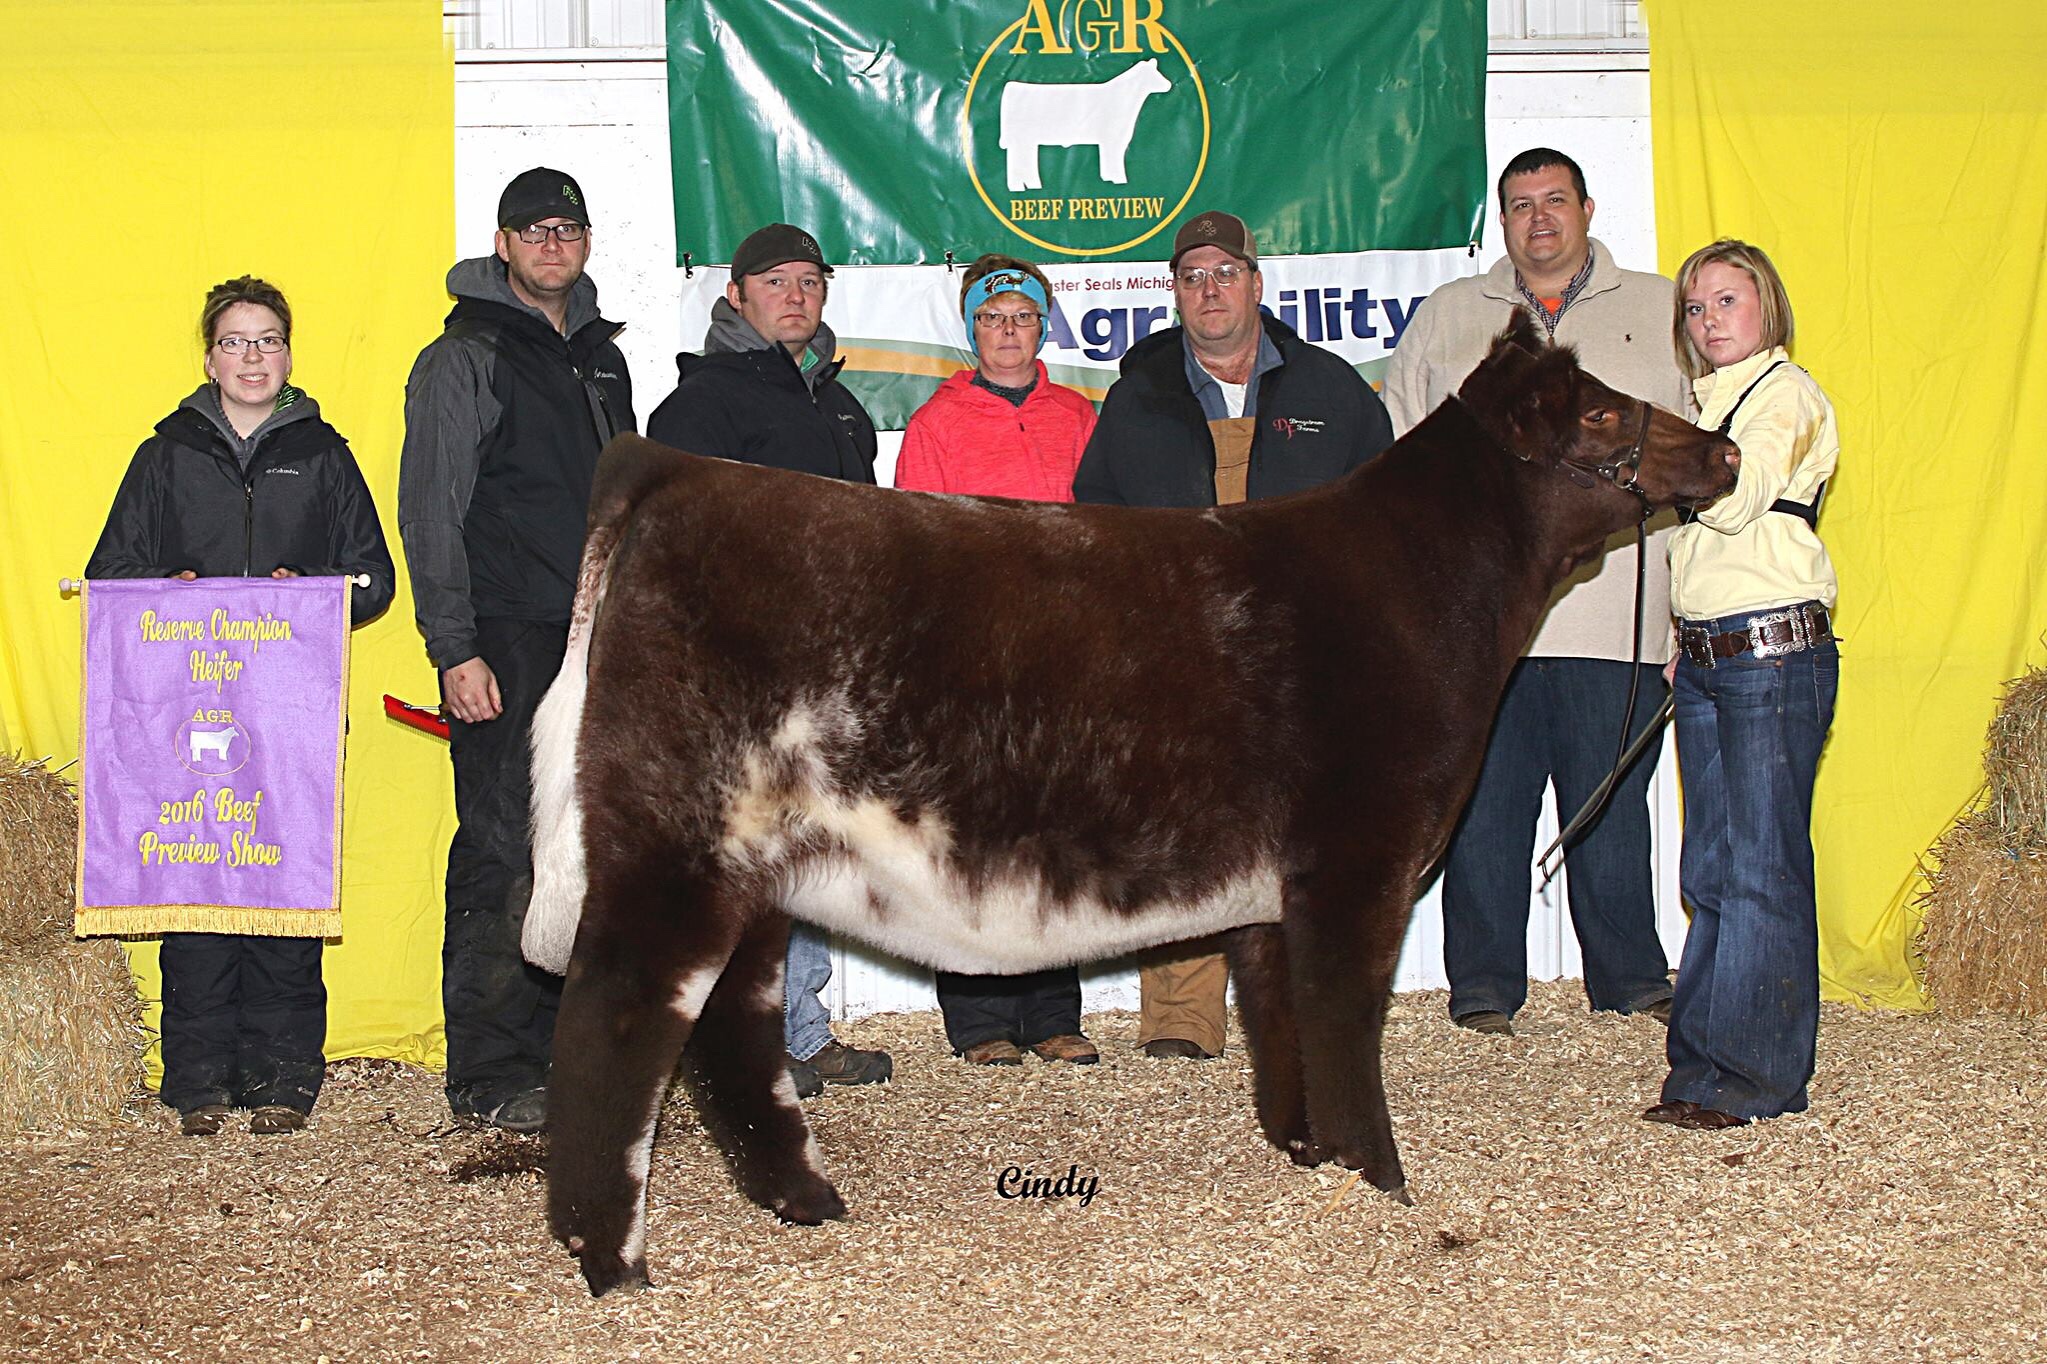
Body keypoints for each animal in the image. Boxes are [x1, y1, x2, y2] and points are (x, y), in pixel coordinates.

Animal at [522, 312, 1739, 1296]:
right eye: (1598, 408)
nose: (1723, 447)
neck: (1427, 592)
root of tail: (675, 469)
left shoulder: (1277, 894)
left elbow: (1282, 1023)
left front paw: (1306, 1156)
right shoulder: (1357, 863)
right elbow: (1344, 1024)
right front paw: (1381, 1180)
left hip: (756, 868)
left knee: (733, 1022)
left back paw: (806, 1203)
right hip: (672, 851)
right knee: (612, 1021)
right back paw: (612, 1260)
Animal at [1000, 58, 1172, 192]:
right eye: (1155, 74)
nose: (1169, 84)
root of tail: (1011, 85)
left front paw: (1108, 178)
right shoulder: (1113, 138)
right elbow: (1114, 159)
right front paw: (1119, 180)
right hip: (1023, 139)